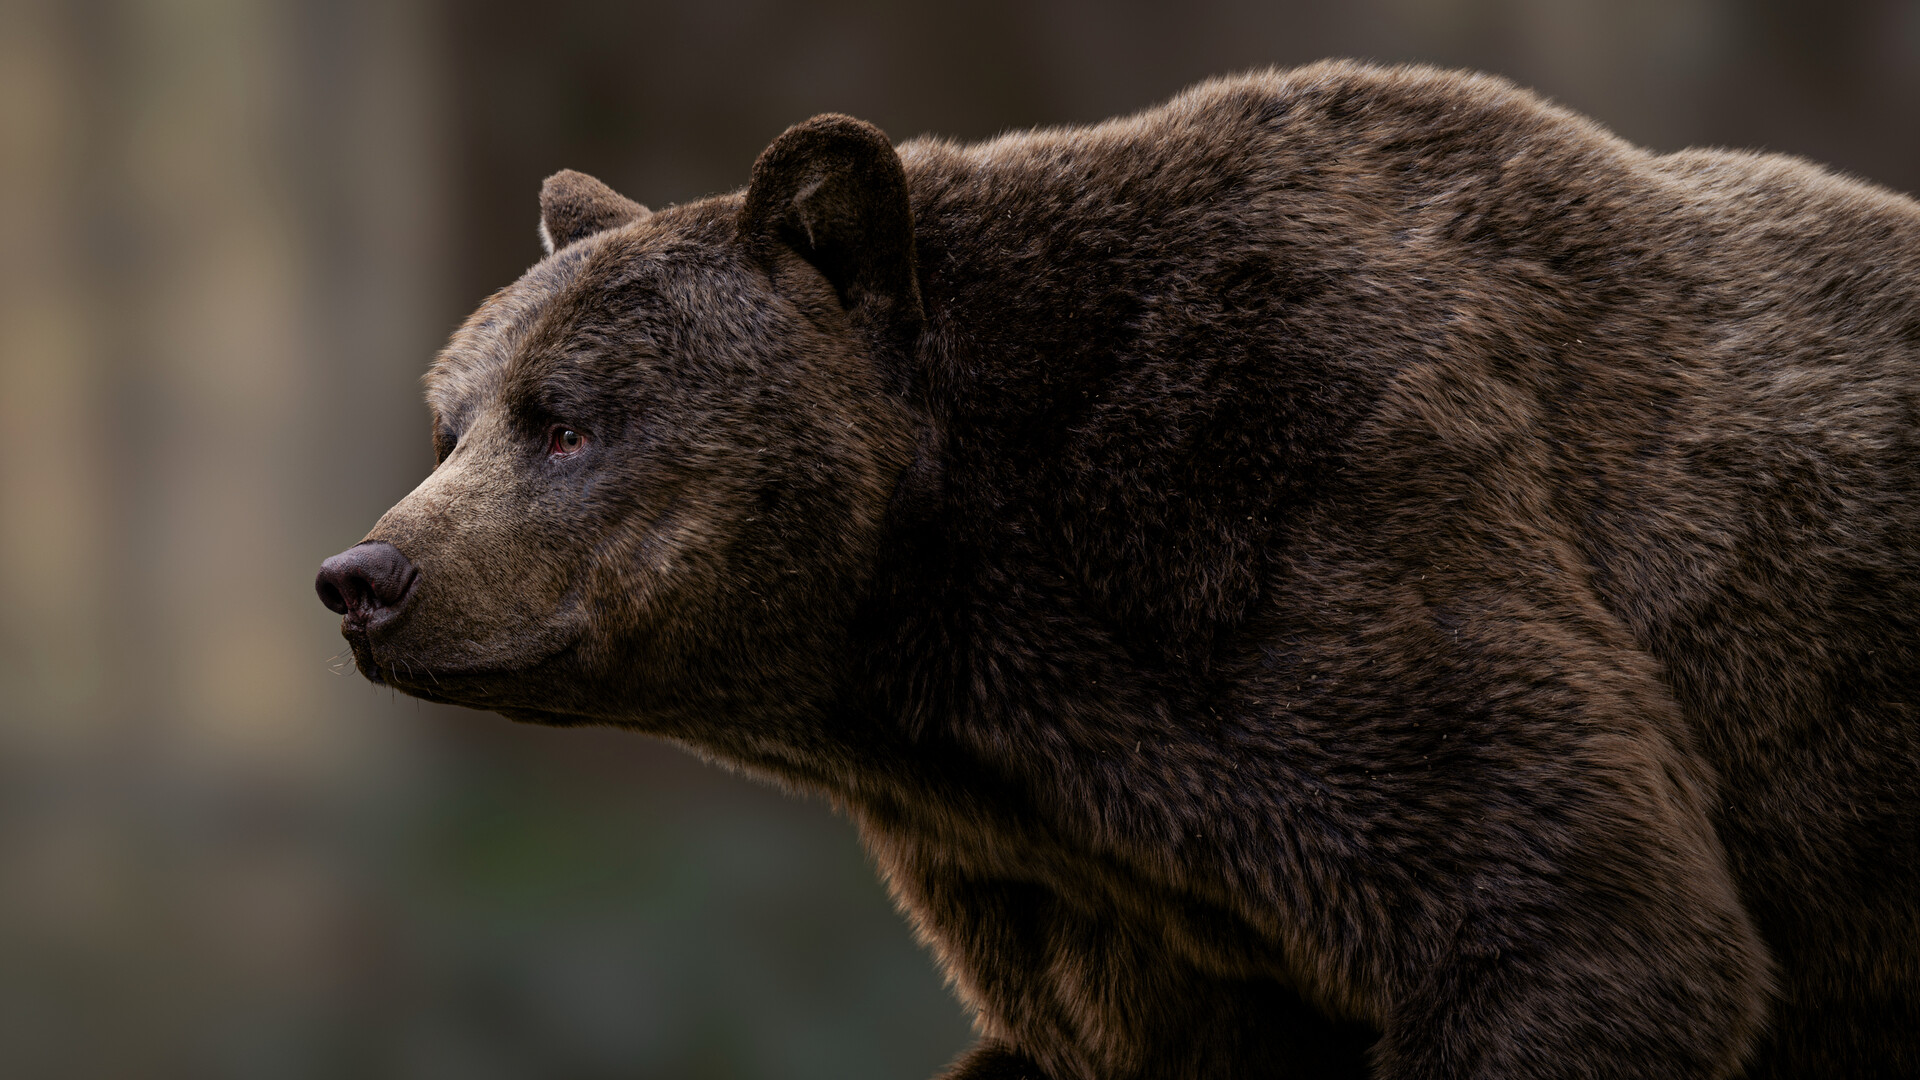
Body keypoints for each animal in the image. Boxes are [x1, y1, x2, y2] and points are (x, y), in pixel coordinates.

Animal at [316, 61, 1920, 1079]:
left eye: (567, 419)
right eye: (452, 417)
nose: (365, 574)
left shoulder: (1323, 514)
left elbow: (1583, 923)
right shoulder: (1096, 896)